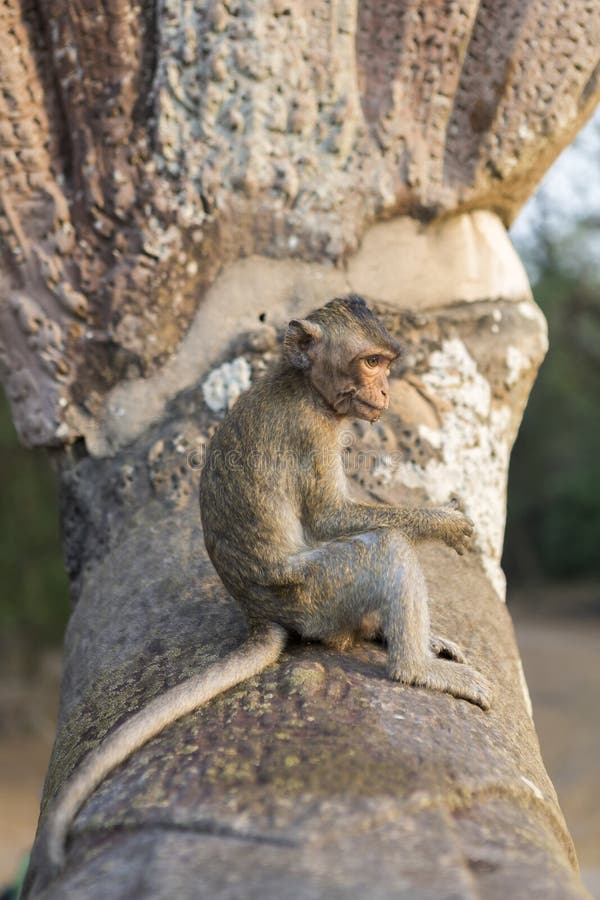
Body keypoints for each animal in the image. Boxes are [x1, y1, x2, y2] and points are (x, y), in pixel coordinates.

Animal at [35, 295, 492, 881]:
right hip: (312, 595)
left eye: (386, 363)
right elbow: (329, 517)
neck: (303, 384)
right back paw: (415, 666)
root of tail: (258, 612)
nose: (387, 392)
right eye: (371, 362)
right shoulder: (311, 432)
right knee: (384, 548)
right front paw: (445, 522)